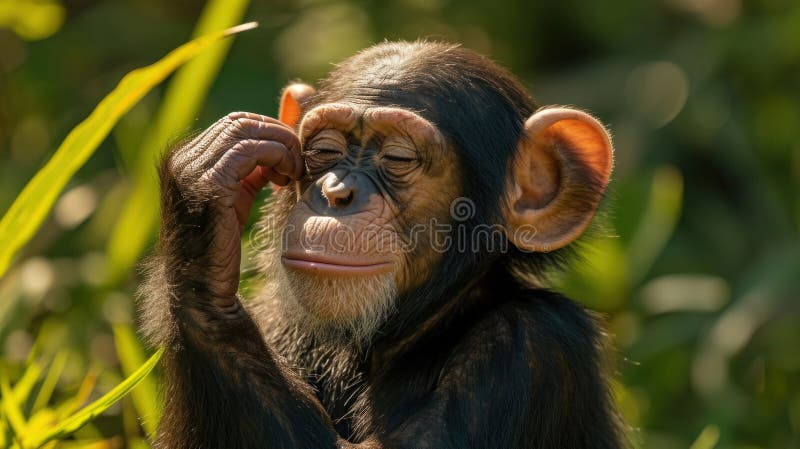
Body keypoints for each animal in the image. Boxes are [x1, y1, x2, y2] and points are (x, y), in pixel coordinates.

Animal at [139, 40, 627, 449]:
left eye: (398, 157)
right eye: (324, 150)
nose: (338, 193)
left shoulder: (533, 345)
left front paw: (200, 200)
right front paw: (209, 175)